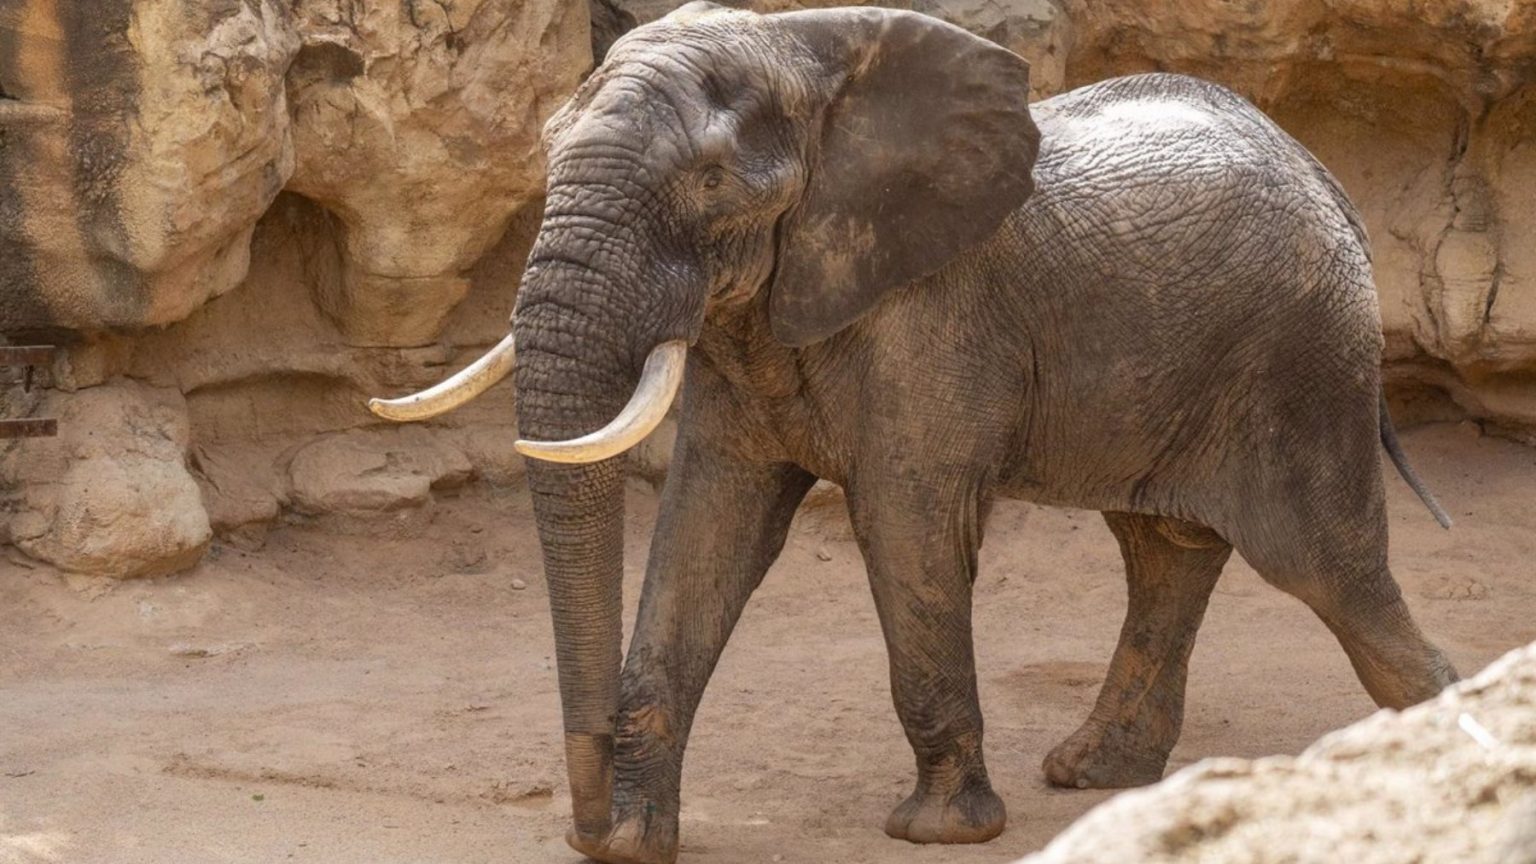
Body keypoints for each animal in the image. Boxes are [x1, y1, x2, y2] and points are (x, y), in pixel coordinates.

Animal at [368, 4, 1461, 862]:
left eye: (711, 182)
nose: (583, 827)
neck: (803, 52)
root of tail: (1325, 174)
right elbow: (711, 522)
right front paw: (638, 841)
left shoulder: (931, 316)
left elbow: (906, 523)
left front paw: (940, 832)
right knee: (1164, 548)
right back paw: (1096, 772)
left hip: (1305, 361)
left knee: (1328, 565)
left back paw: (1433, 741)